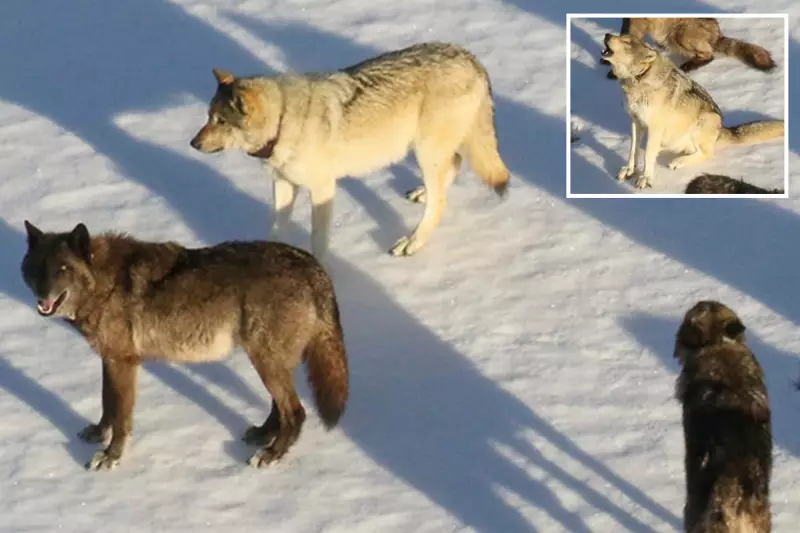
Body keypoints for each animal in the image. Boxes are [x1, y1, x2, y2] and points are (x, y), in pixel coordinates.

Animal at [20, 221, 348, 471]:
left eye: (63, 269)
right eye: (37, 268)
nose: (42, 296)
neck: (104, 283)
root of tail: (314, 266)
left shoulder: (124, 363)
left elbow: (122, 417)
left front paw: (111, 457)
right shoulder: (110, 360)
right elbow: (107, 404)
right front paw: (98, 434)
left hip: (266, 362)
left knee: (296, 412)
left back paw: (270, 455)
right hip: (268, 362)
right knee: (280, 407)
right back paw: (261, 436)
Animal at [190, 42, 509, 260]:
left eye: (220, 121)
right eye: (208, 117)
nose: (193, 143)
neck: (284, 119)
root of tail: (472, 59)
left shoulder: (323, 189)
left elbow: (318, 240)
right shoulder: (283, 183)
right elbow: (277, 227)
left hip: (425, 151)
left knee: (440, 200)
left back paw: (412, 242)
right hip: (431, 151)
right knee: (451, 168)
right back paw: (422, 194)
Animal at [602, 34, 784, 189]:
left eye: (626, 42)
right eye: (621, 36)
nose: (607, 35)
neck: (638, 80)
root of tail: (721, 130)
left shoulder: (654, 127)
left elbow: (648, 157)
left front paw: (646, 179)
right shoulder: (635, 122)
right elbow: (633, 150)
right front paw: (628, 171)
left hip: (702, 122)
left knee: (705, 153)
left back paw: (677, 161)